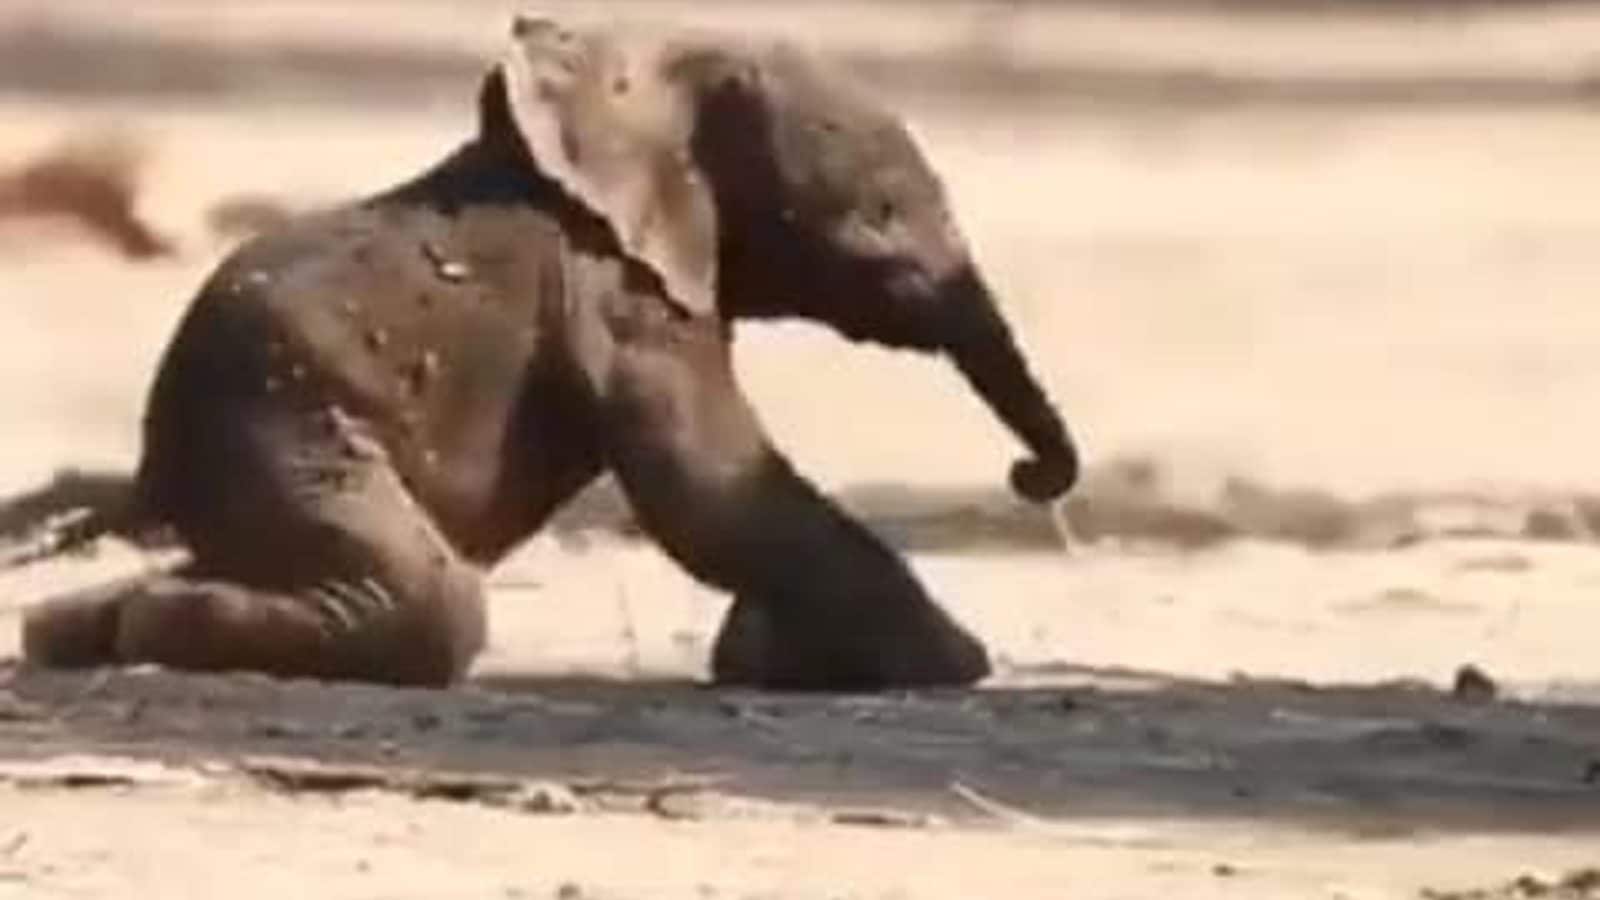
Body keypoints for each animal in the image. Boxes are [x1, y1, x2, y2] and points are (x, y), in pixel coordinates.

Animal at [20, 16, 1079, 690]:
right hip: (283, 425)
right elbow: (705, 486)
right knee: (432, 598)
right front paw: (955, 664)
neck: (653, 70)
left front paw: (778, 658)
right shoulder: (618, 290)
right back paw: (152, 629)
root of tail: (153, 465)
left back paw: (88, 628)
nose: (1030, 475)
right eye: (883, 221)